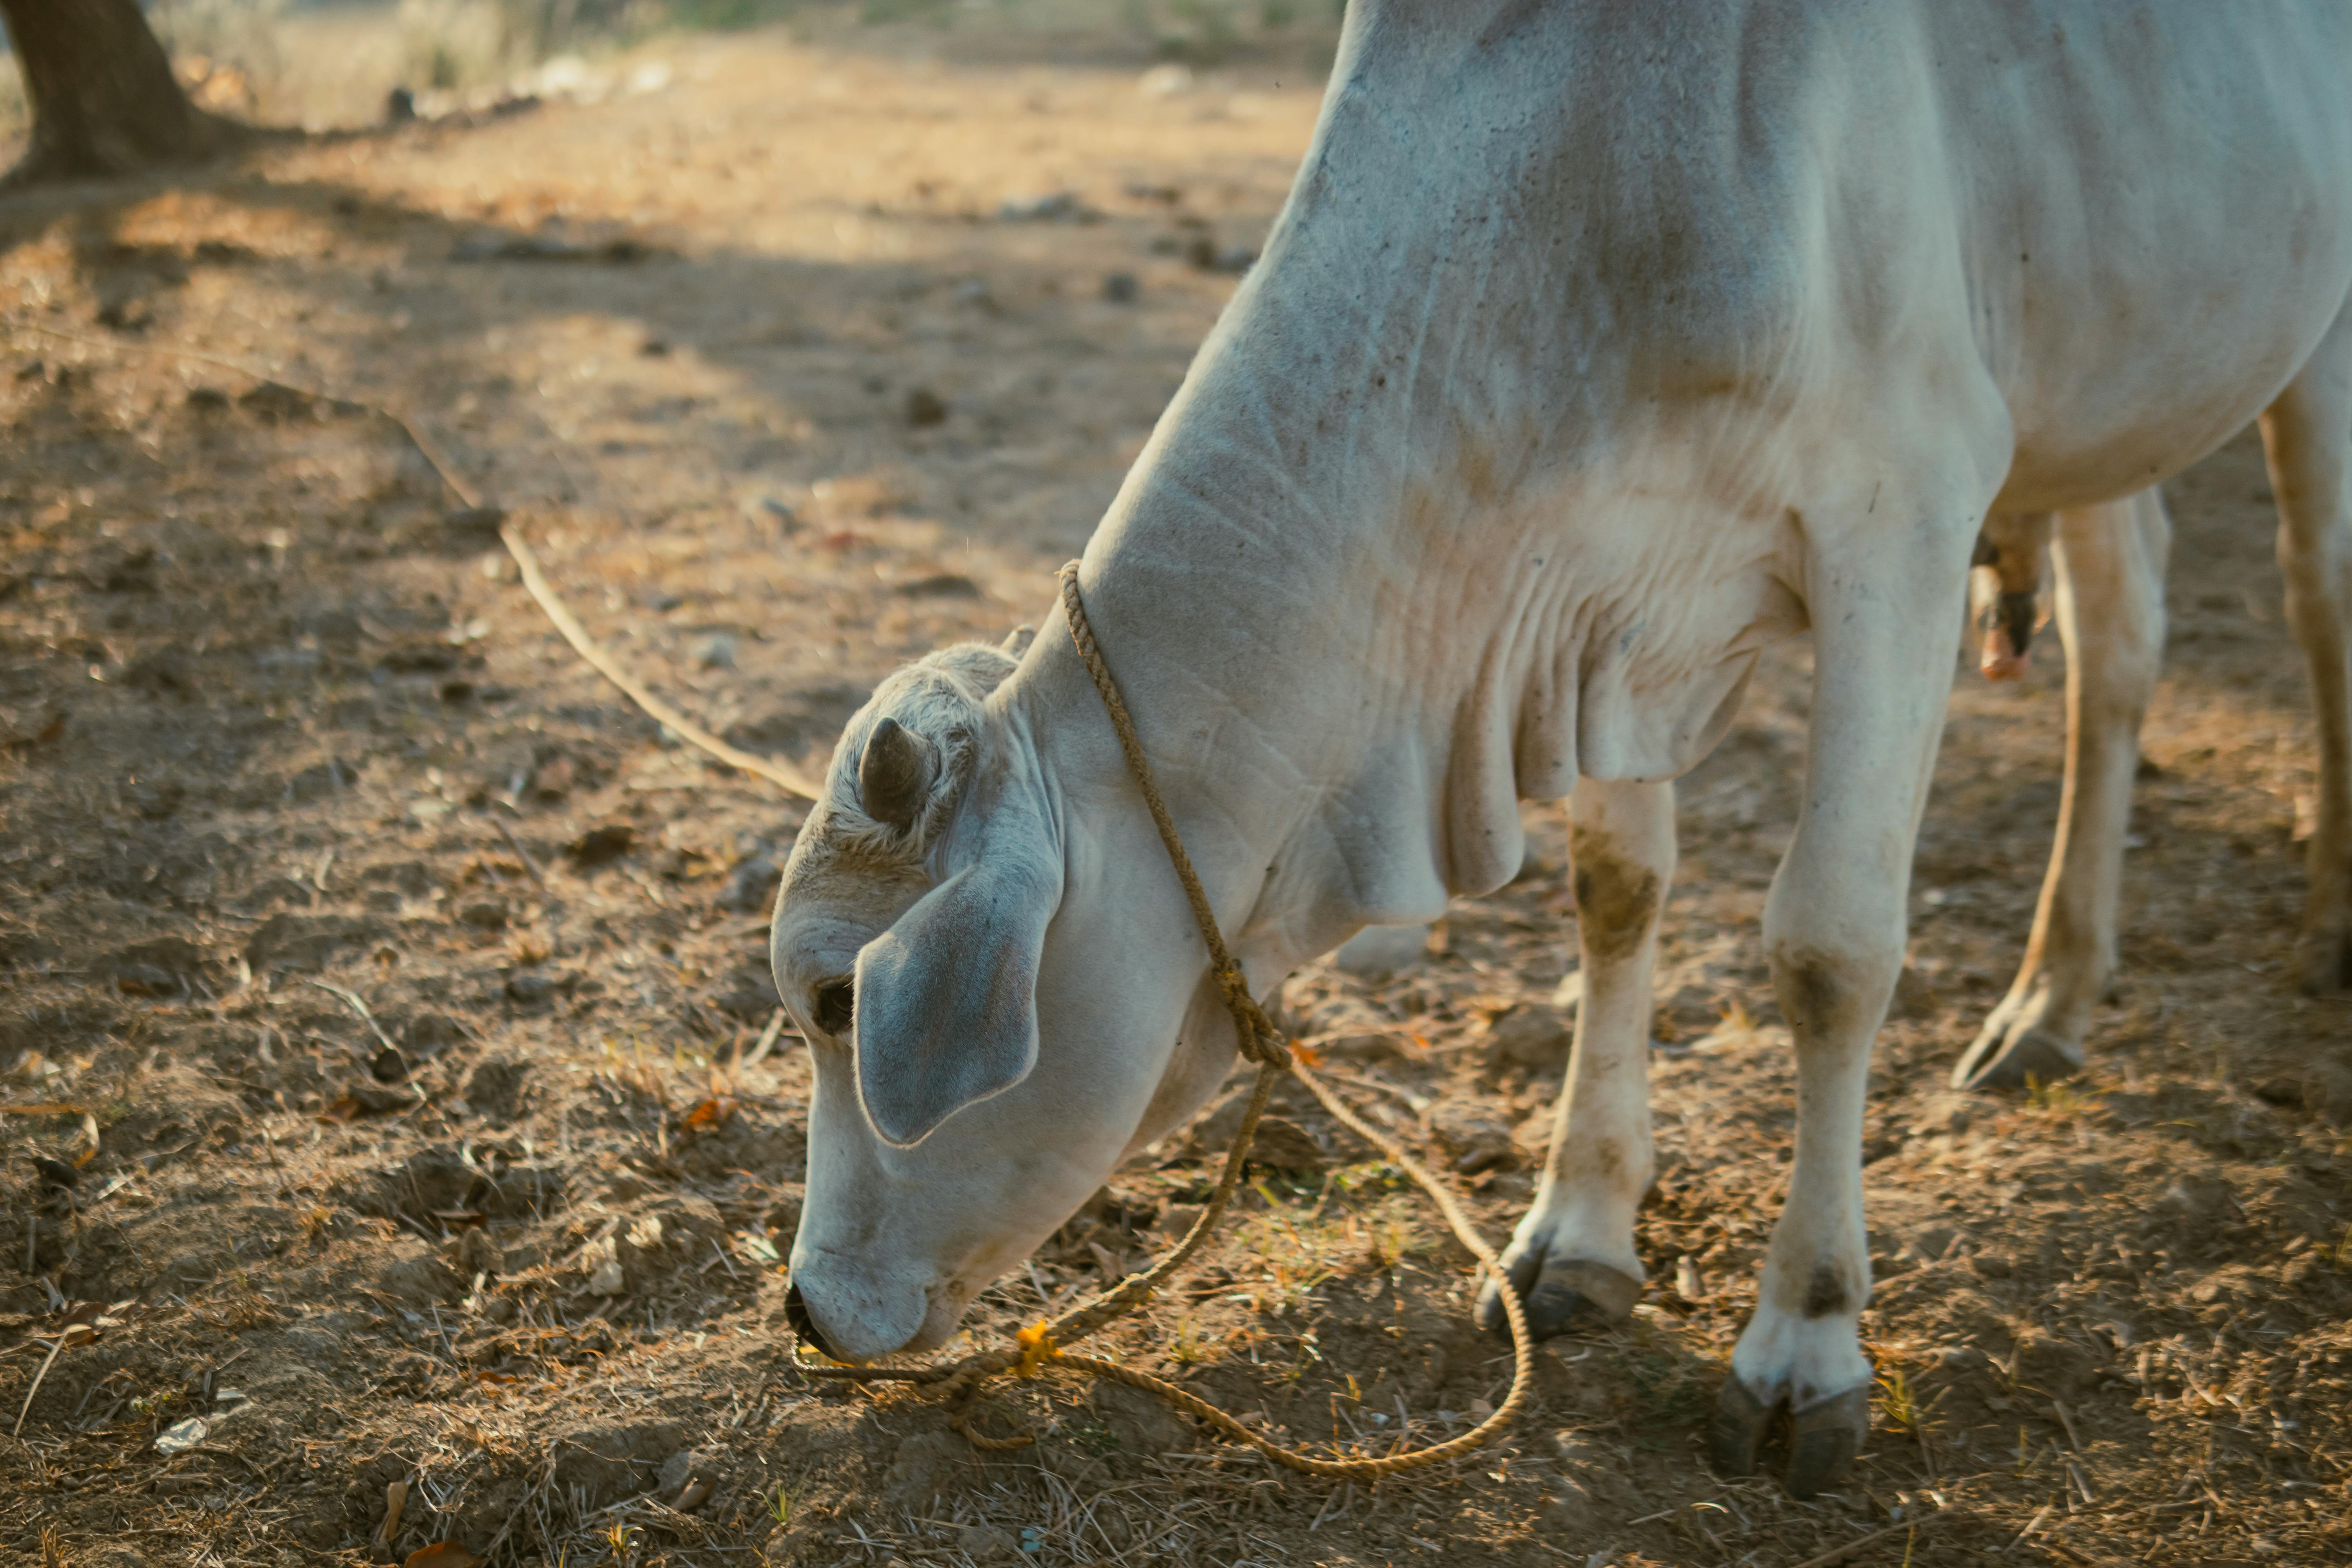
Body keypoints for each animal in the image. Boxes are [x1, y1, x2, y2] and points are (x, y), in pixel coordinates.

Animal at [771, 2, 2352, 1497]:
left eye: (838, 1001)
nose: (804, 1308)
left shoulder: (1900, 515)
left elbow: (1830, 947)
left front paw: (1802, 1341)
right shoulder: (1599, 603)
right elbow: (1614, 893)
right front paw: (1577, 1232)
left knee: (2311, 589)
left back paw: (2318, 931)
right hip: (2106, 396)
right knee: (2121, 643)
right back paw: (2051, 997)